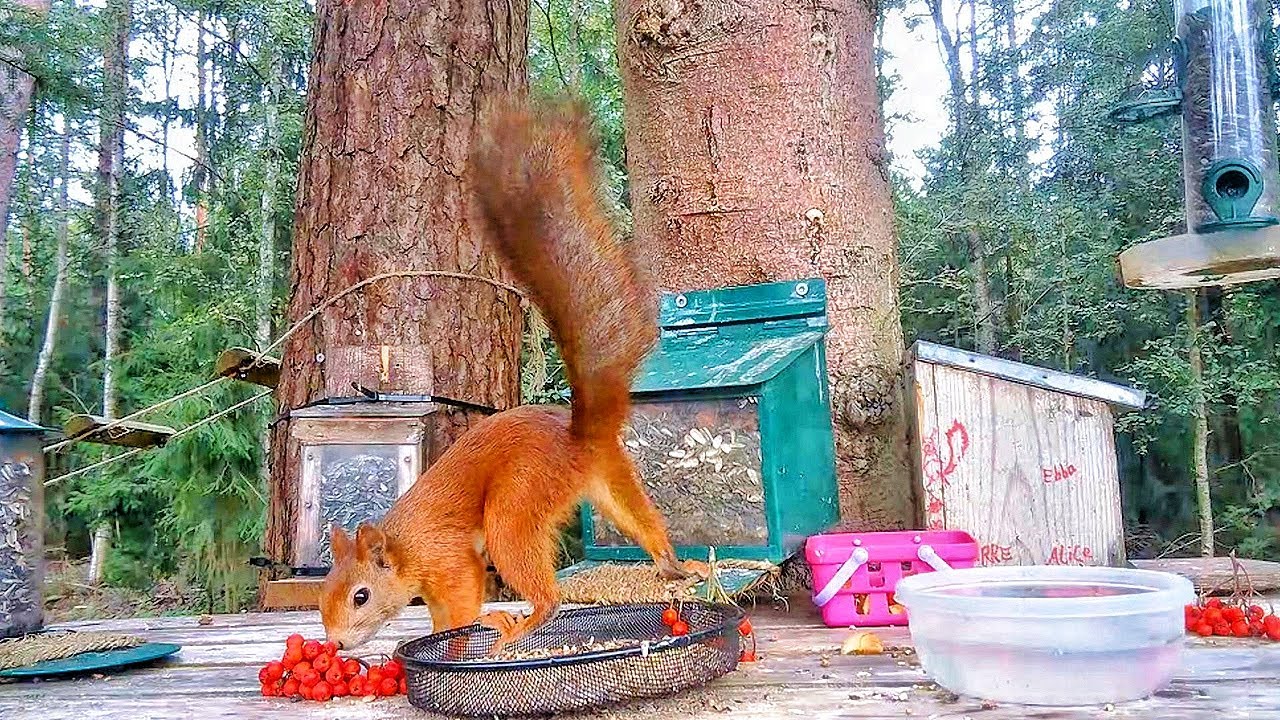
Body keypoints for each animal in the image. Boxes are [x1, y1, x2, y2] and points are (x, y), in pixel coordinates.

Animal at [319, 95, 700, 654]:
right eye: (323, 593)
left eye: (361, 596)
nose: (337, 644)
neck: (405, 546)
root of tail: (576, 440)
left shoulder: (449, 558)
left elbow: (460, 606)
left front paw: (454, 638)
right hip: (608, 482)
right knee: (643, 521)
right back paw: (676, 567)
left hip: (515, 506)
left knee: (546, 595)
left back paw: (518, 626)